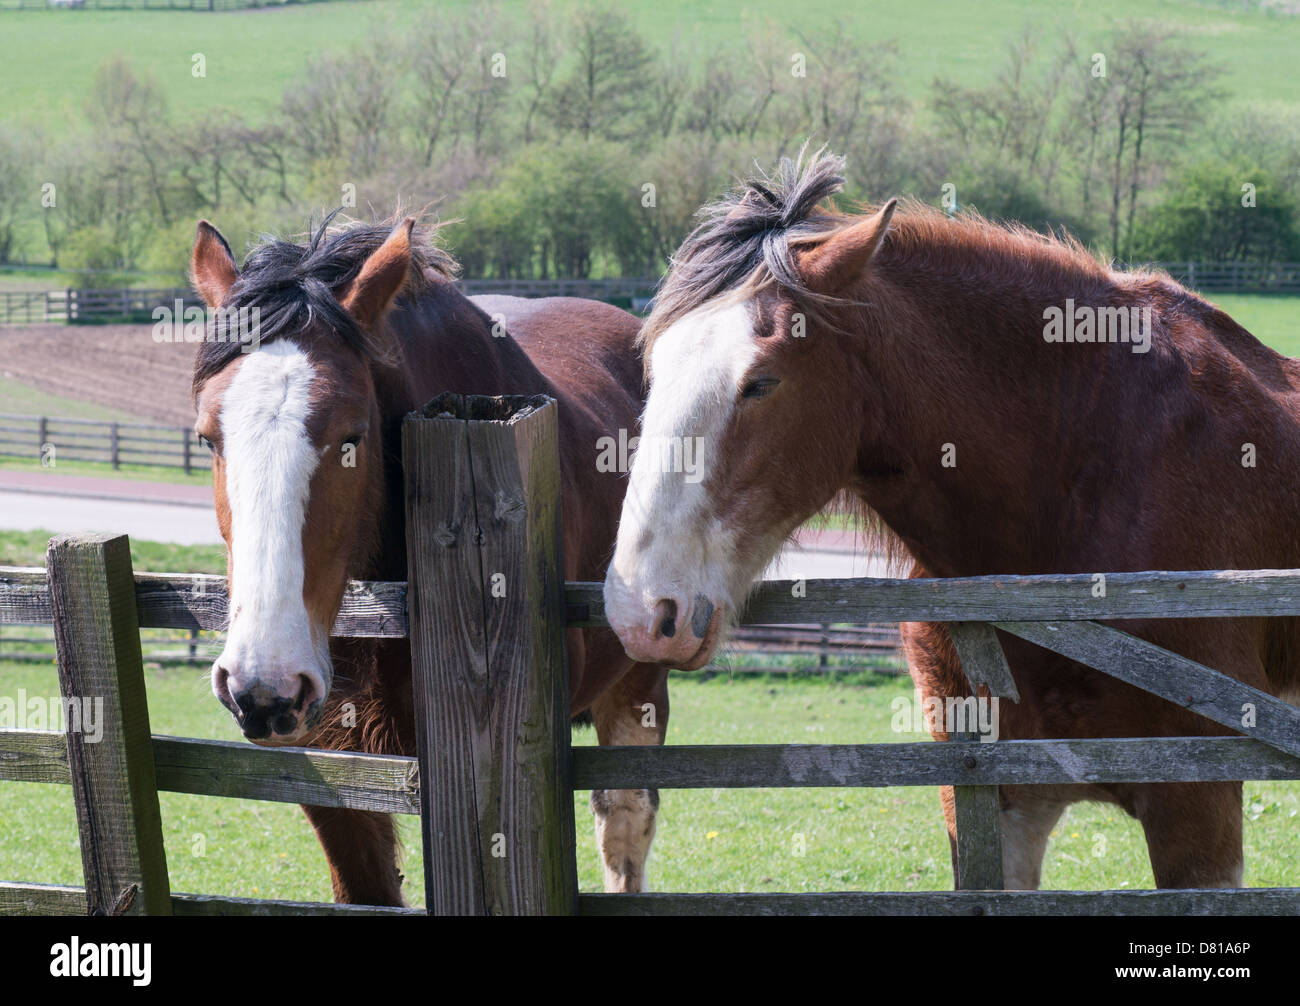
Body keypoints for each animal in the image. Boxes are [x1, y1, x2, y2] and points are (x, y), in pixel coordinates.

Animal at [189, 214, 668, 904]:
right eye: (208, 438)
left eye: (352, 437)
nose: (264, 684)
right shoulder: (333, 774)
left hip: (638, 683)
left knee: (624, 823)